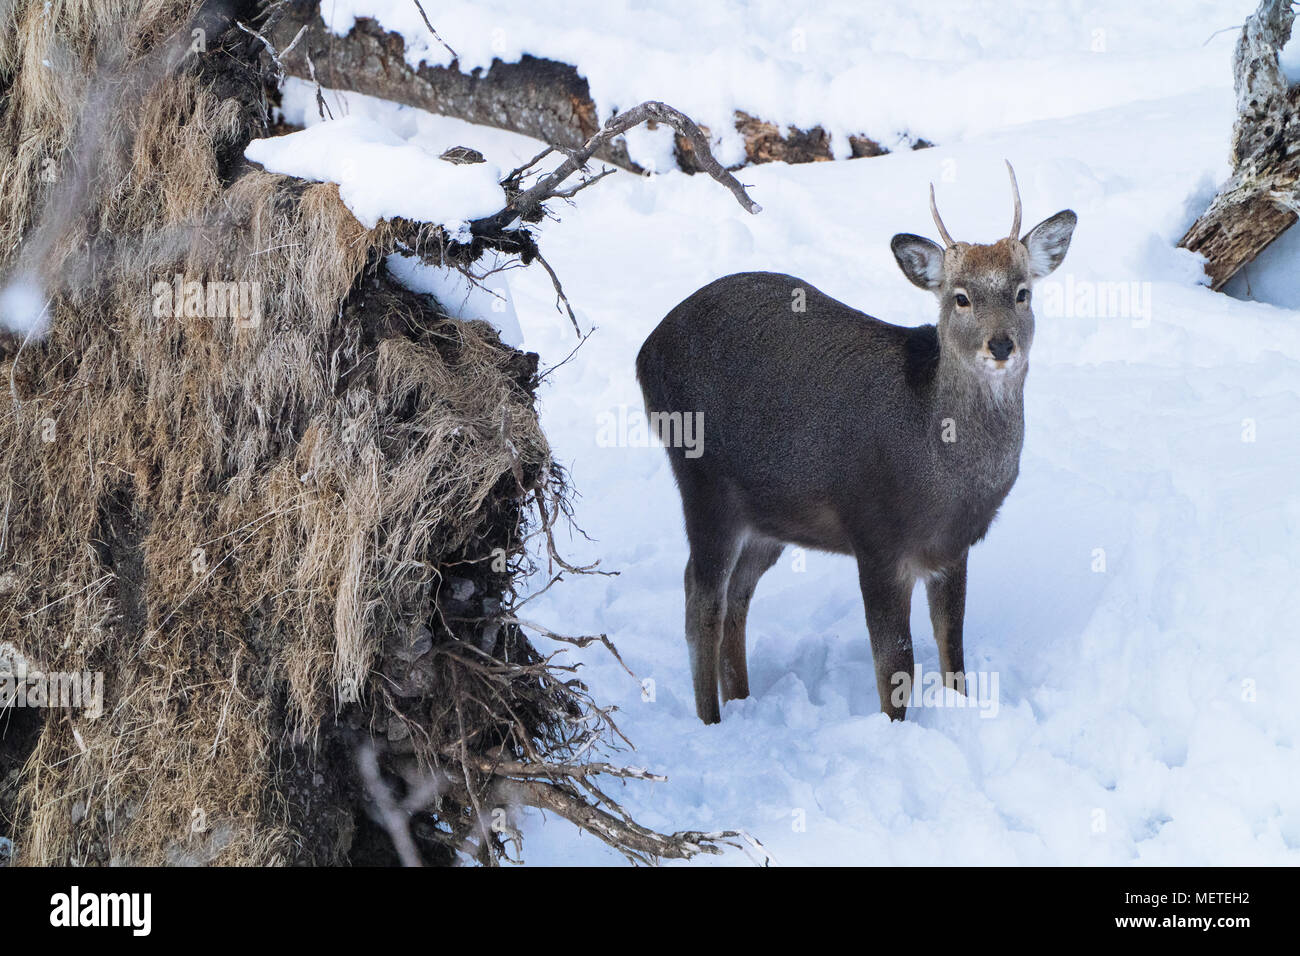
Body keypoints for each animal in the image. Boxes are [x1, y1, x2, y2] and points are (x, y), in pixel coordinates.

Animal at [636, 163, 1076, 724]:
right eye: (960, 296)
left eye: (1023, 292)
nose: (1000, 344)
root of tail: (645, 351)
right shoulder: (875, 534)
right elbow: (896, 668)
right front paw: (896, 729)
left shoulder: (952, 548)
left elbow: (952, 650)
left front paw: (960, 710)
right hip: (702, 479)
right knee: (701, 599)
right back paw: (711, 721)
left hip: (769, 515)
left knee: (736, 596)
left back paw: (742, 700)